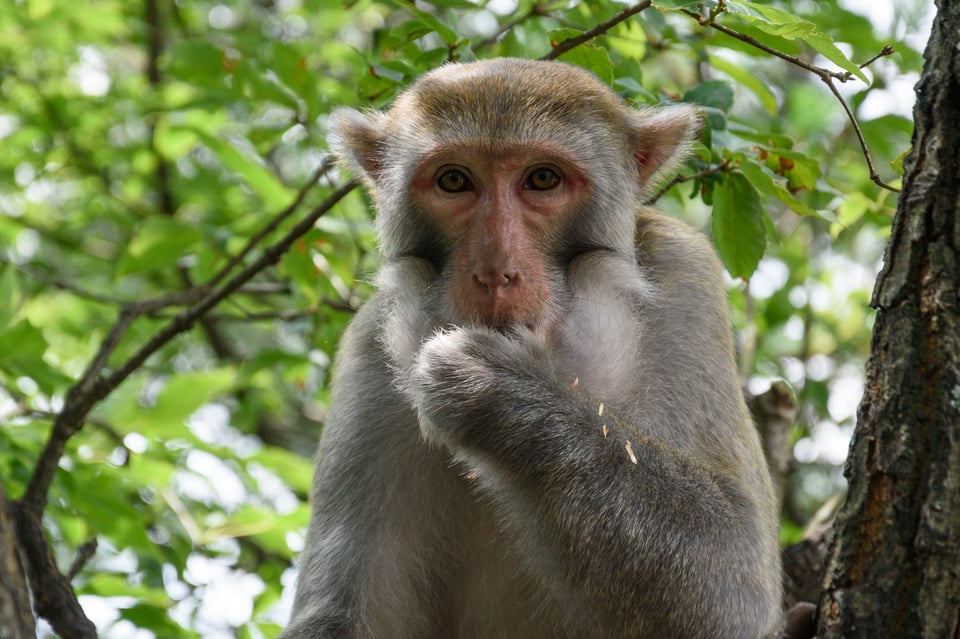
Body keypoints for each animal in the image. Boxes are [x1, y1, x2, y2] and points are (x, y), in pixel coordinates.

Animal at [282, 58, 784, 639]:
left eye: (543, 179)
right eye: (454, 180)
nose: (496, 273)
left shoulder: (685, 280)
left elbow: (732, 580)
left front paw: (494, 391)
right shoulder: (370, 349)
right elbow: (342, 617)